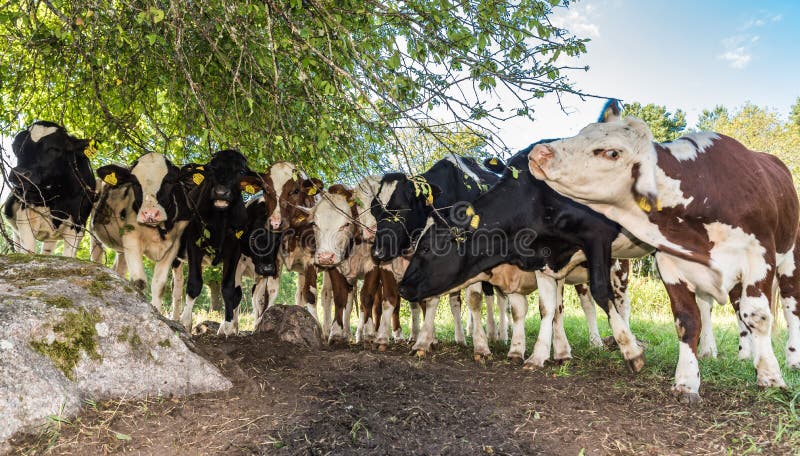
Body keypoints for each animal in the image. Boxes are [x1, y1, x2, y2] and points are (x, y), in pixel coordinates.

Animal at [3, 121, 95, 257]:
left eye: (54, 149)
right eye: (18, 146)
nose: (19, 174)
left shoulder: (78, 225)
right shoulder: (25, 215)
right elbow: (29, 251)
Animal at [91, 153, 195, 317]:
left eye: (169, 181)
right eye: (134, 182)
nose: (150, 213)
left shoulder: (174, 245)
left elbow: (159, 285)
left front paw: (156, 310)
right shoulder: (131, 237)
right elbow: (139, 282)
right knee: (96, 256)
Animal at [178, 149, 264, 336]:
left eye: (241, 172)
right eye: (211, 169)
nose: (221, 192)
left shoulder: (234, 250)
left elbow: (229, 289)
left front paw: (228, 328)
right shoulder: (194, 242)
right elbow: (194, 284)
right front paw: (185, 322)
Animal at [371, 155, 507, 346]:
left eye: (401, 208)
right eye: (374, 209)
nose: (377, 252)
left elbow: (468, 299)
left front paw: (470, 341)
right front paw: (425, 337)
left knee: (498, 297)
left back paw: (498, 333)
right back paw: (473, 329)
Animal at [527, 101, 800, 401]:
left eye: (612, 152)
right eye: (582, 132)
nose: (540, 152)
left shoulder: (758, 256)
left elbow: (758, 316)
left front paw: (770, 376)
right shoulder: (671, 262)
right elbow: (686, 319)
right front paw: (687, 380)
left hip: (789, 256)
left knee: (789, 306)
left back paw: (790, 360)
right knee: (718, 306)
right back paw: (722, 352)